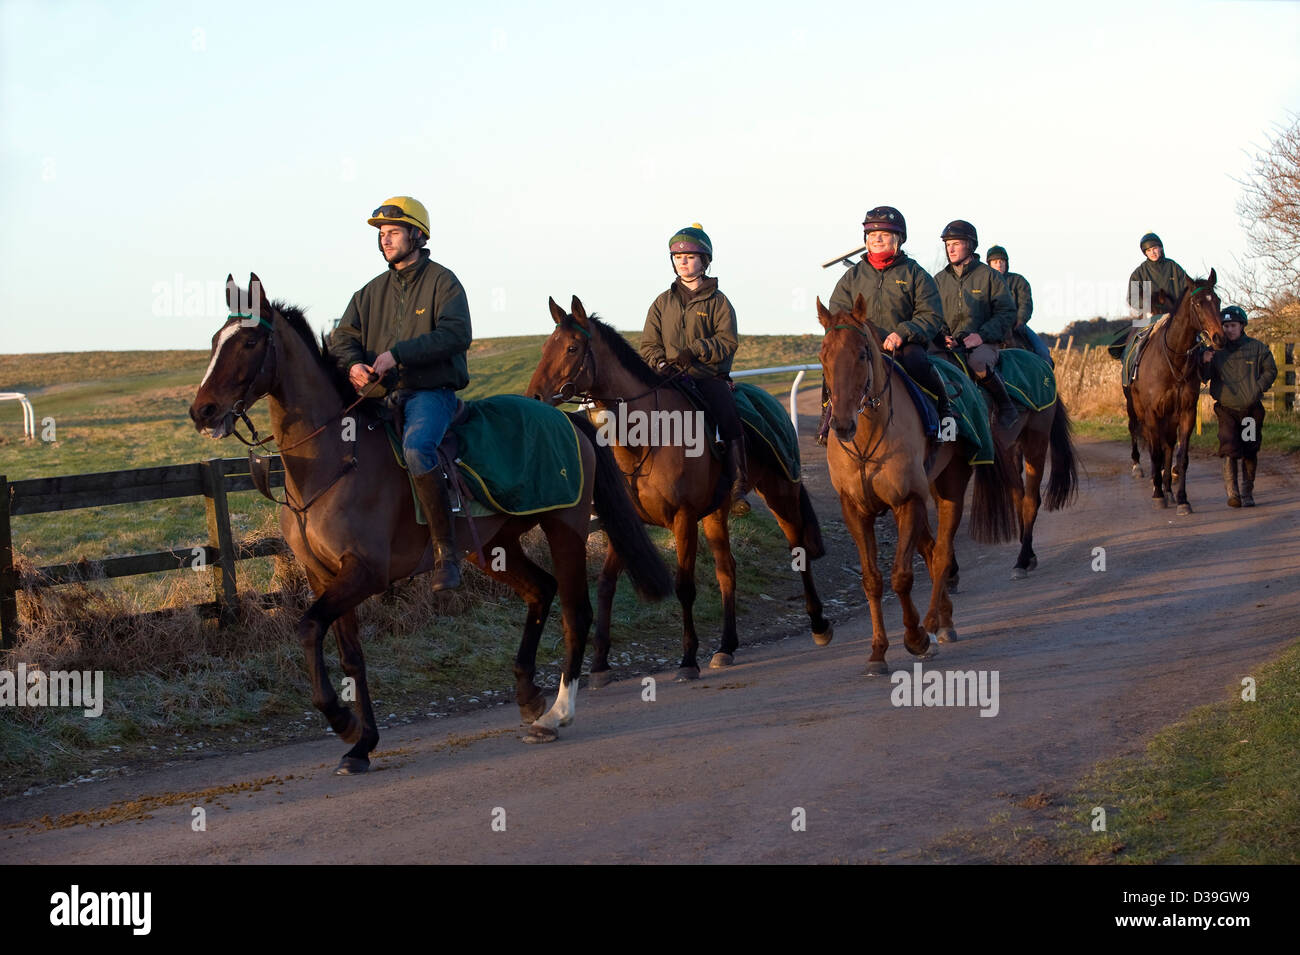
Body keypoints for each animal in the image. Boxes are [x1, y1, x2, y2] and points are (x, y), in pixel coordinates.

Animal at [189, 275, 671, 773]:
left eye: (248, 342)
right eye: (215, 340)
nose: (202, 411)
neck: (335, 461)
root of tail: (568, 418)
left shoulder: (364, 573)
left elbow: (307, 628)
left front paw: (343, 722)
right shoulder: (324, 575)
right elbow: (350, 656)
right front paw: (362, 744)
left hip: (566, 530)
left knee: (576, 612)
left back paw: (556, 714)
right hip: (492, 547)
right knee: (541, 590)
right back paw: (527, 693)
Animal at [526, 296, 832, 684]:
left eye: (571, 347)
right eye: (545, 347)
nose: (534, 396)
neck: (647, 436)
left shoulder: (683, 519)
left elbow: (684, 586)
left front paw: (687, 659)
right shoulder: (627, 524)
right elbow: (607, 584)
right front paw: (600, 664)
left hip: (781, 493)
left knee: (798, 550)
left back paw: (819, 624)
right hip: (717, 514)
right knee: (727, 570)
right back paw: (726, 646)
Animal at [818, 295, 1017, 673]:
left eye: (862, 354)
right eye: (823, 356)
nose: (841, 424)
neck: (868, 439)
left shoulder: (907, 501)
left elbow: (901, 576)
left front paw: (915, 638)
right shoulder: (855, 510)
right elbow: (872, 579)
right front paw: (878, 651)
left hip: (949, 488)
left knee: (940, 555)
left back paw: (935, 623)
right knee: (929, 550)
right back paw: (943, 620)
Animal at [1123, 271, 1225, 514]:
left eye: (1217, 301)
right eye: (1197, 304)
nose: (1219, 338)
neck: (1173, 360)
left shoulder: (1186, 412)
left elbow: (1181, 455)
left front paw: (1181, 498)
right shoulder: (1152, 413)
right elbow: (1156, 453)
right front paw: (1158, 494)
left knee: (1168, 444)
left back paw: (1168, 486)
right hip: (1134, 408)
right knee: (1136, 432)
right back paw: (1140, 469)